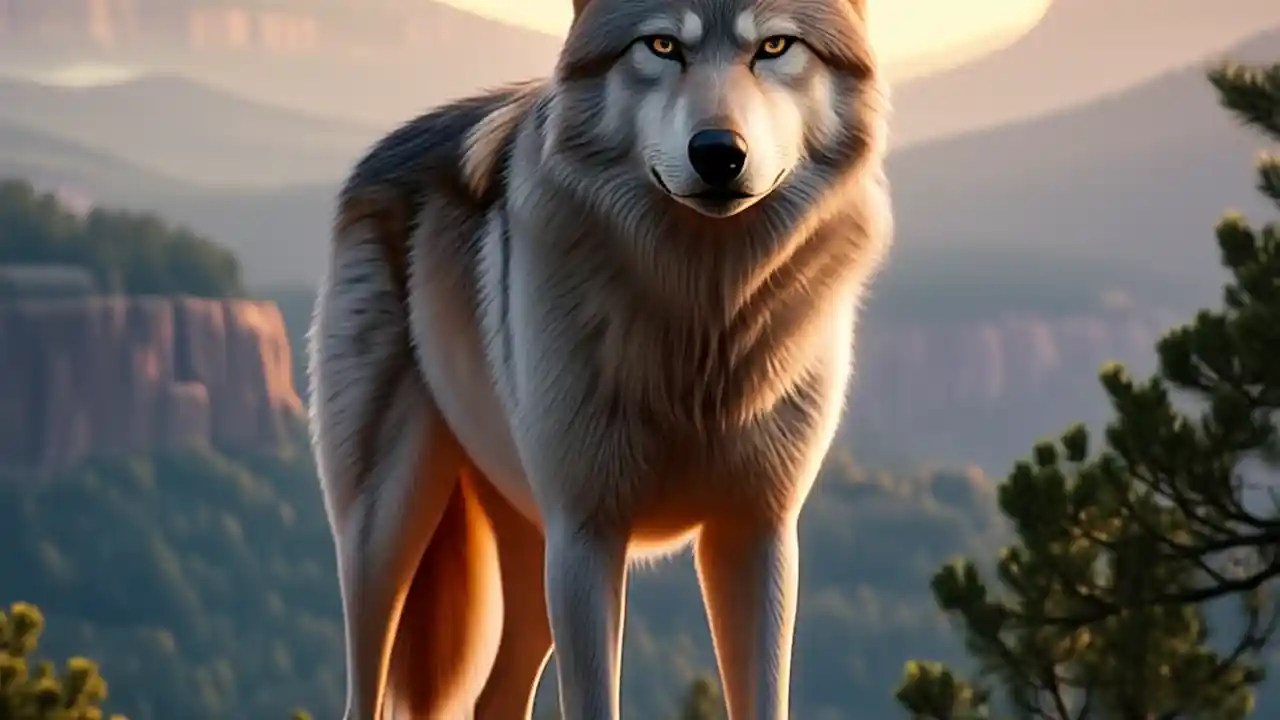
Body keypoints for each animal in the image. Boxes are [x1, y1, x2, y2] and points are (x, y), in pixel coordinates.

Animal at [308, 0, 891, 717]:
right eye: (662, 46)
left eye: (775, 47)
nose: (718, 153)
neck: (704, 323)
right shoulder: (587, 536)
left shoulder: (759, 533)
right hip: (390, 528)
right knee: (364, 692)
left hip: (530, 554)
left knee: (494, 699)